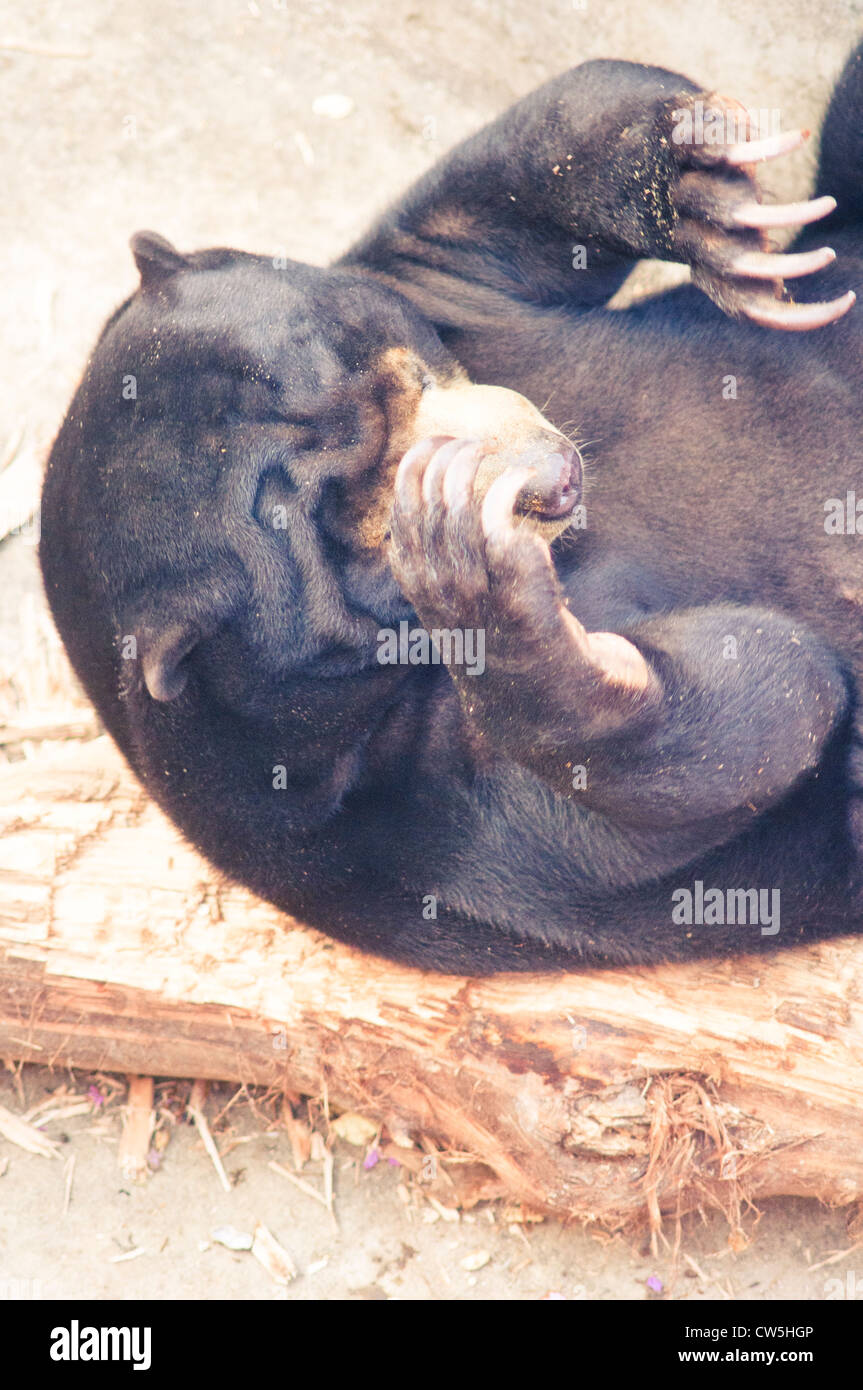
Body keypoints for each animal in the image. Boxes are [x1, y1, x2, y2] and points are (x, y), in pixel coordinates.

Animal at [38, 43, 863, 973]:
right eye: (372, 536)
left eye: (410, 374)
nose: (555, 476)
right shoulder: (383, 813)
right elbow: (720, 746)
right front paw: (485, 589)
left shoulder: (412, 280)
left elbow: (497, 192)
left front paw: (700, 191)